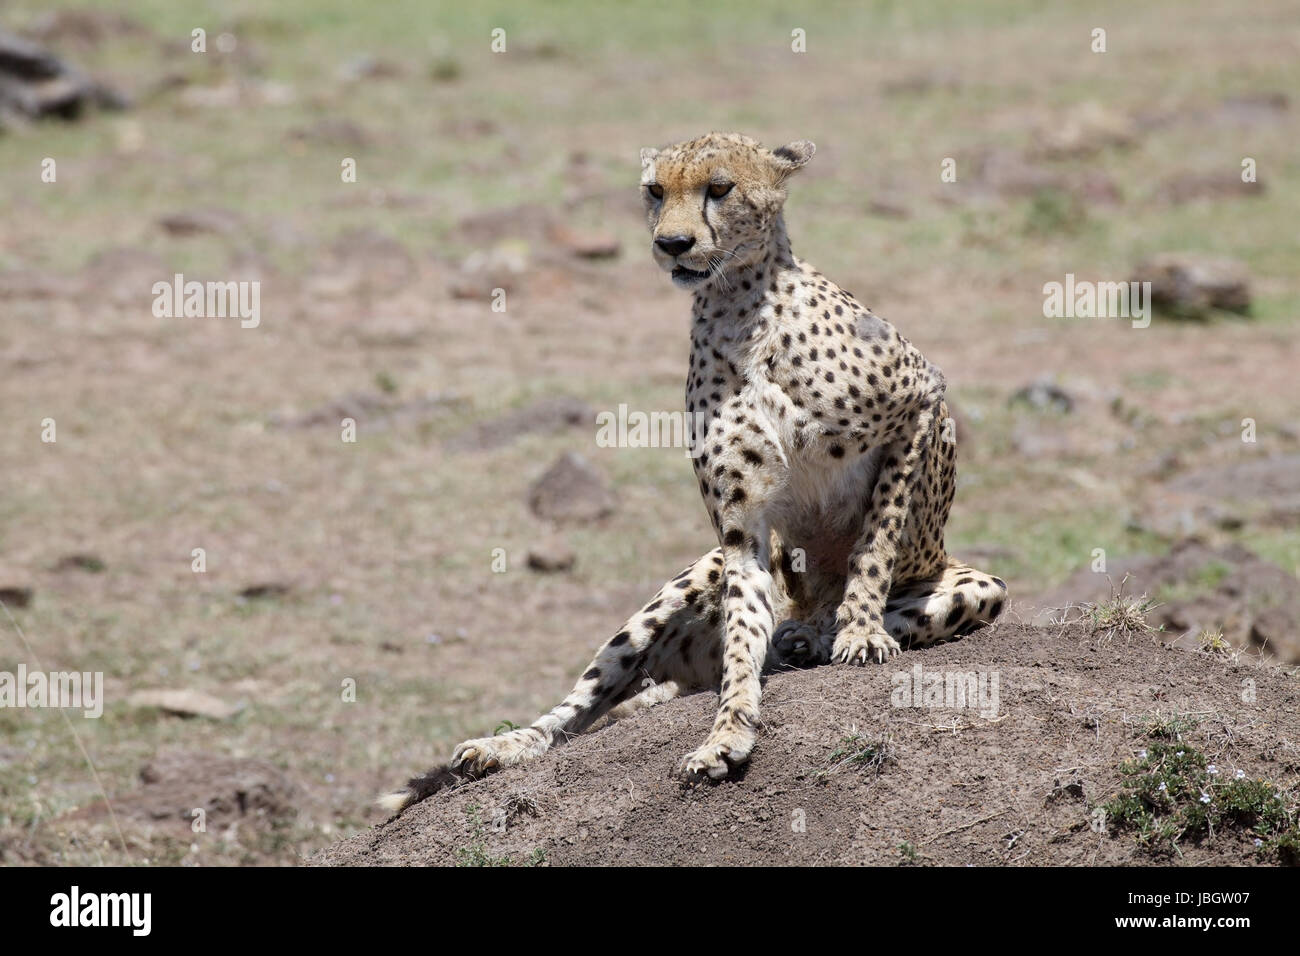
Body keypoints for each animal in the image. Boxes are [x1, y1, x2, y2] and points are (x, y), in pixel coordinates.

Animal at [380, 132, 1006, 812]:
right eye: (656, 191)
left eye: (720, 188)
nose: (672, 243)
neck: (740, 308)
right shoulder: (739, 535)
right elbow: (742, 636)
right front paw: (727, 734)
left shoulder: (921, 401)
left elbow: (876, 538)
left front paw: (861, 631)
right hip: (679, 591)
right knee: (584, 704)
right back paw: (509, 743)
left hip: (978, 586)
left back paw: (814, 635)